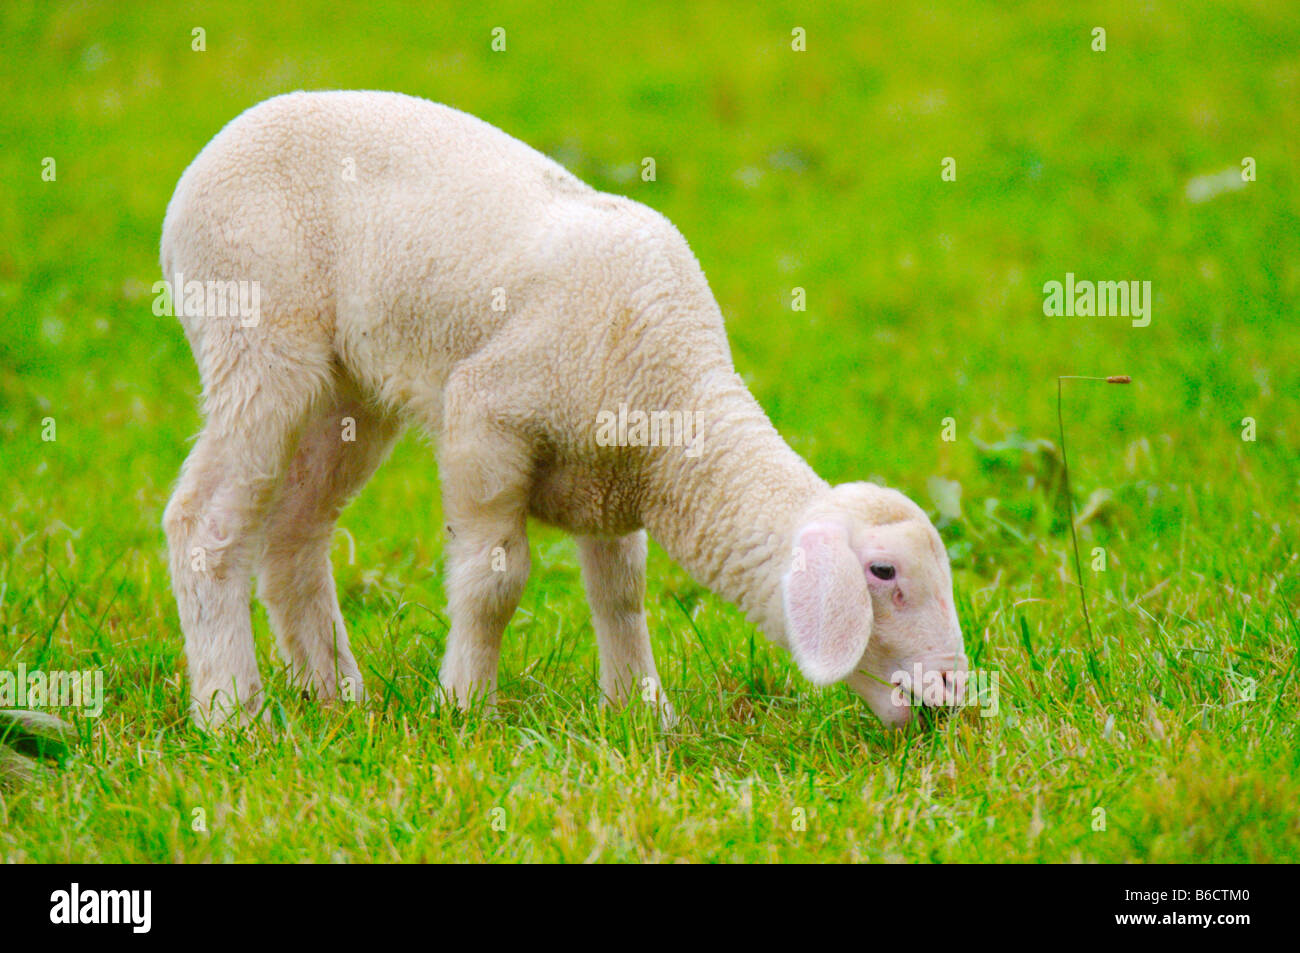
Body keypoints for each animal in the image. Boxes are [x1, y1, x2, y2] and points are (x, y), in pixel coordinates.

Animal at [160, 90, 967, 731]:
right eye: (884, 574)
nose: (955, 693)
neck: (677, 388)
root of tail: (212, 152)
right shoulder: (486, 419)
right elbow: (493, 582)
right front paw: (464, 709)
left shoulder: (615, 477)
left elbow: (621, 595)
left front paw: (641, 710)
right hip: (256, 338)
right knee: (205, 521)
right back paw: (233, 712)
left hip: (349, 389)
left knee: (295, 531)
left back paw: (334, 696)